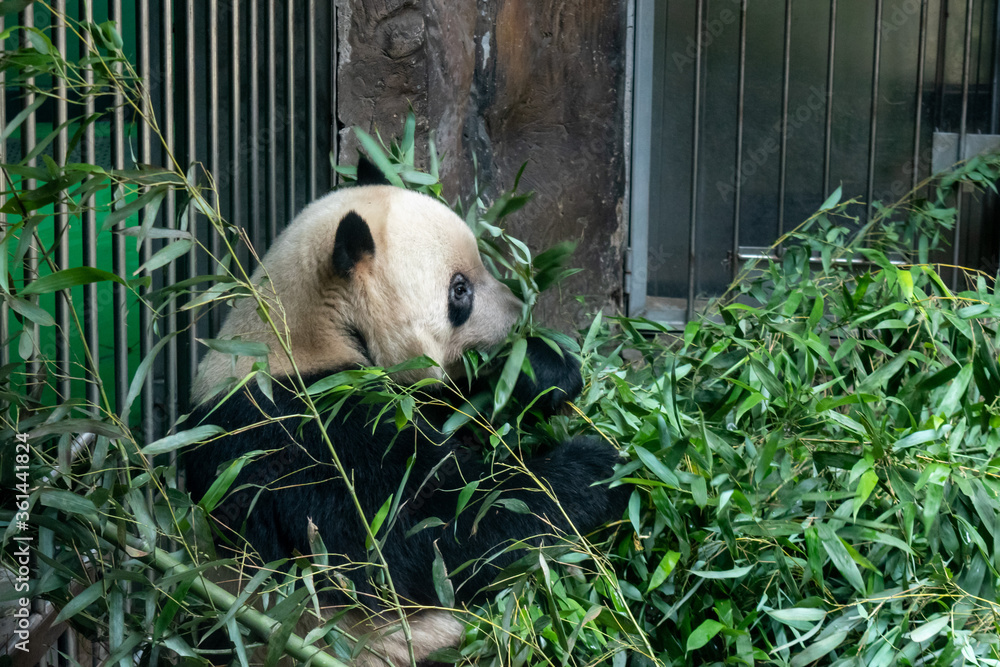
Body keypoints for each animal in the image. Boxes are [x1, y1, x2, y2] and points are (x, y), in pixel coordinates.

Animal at [185, 159, 627, 665]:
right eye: (459, 289)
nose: (520, 314)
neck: (308, 330)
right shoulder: (299, 433)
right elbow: (421, 536)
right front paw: (594, 467)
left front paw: (541, 369)